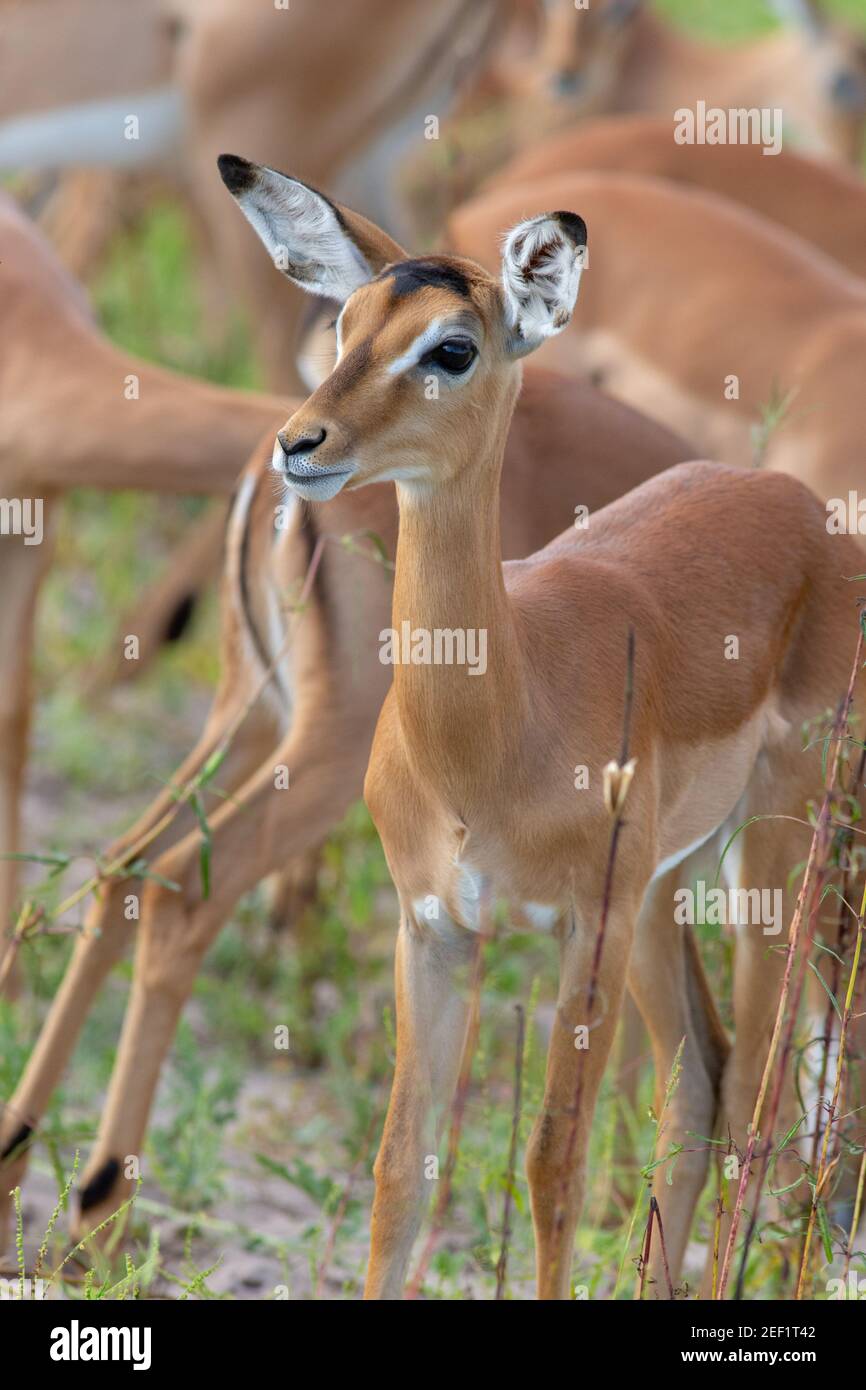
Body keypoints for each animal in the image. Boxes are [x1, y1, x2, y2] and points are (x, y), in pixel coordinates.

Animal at [215, 158, 864, 1299]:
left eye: (451, 347)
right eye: (348, 324)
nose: (300, 443)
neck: (493, 738)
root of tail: (797, 503)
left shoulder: (579, 932)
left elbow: (552, 1161)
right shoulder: (432, 930)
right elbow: (401, 1168)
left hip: (770, 864)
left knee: (764, 1097)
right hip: (662, 893)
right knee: (702, 1081)